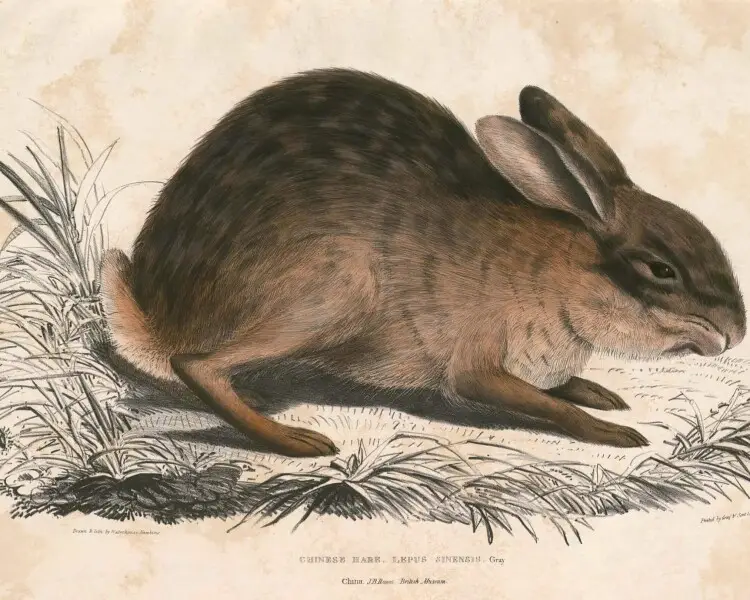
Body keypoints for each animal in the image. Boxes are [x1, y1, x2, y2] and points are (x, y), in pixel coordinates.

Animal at [100, 68, 746, 457]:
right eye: (661, 269)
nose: (737, 333)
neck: (559, 272)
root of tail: (159, 317)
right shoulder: (476, 364)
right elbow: (540, 402)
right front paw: (612, 429)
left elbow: (562, 388)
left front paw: (599, 393)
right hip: (337, 288)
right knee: (197, 364)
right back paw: (293, 440)